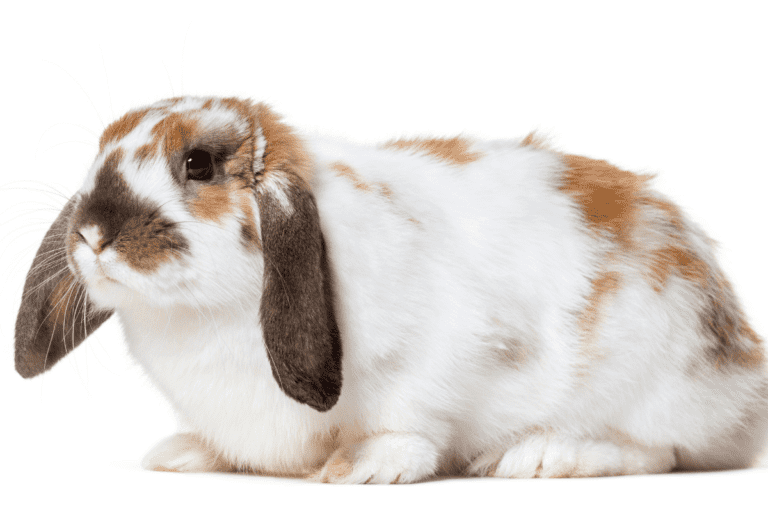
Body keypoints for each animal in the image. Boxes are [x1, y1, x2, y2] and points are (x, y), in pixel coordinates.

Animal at [14, 96, 768, 483]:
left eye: (197, 164)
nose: (91, 233)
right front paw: (185, 454)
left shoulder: (438, 357)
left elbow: (411, 418)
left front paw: (365, 467)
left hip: (652, 376)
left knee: (663, 450)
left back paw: (541, 455)